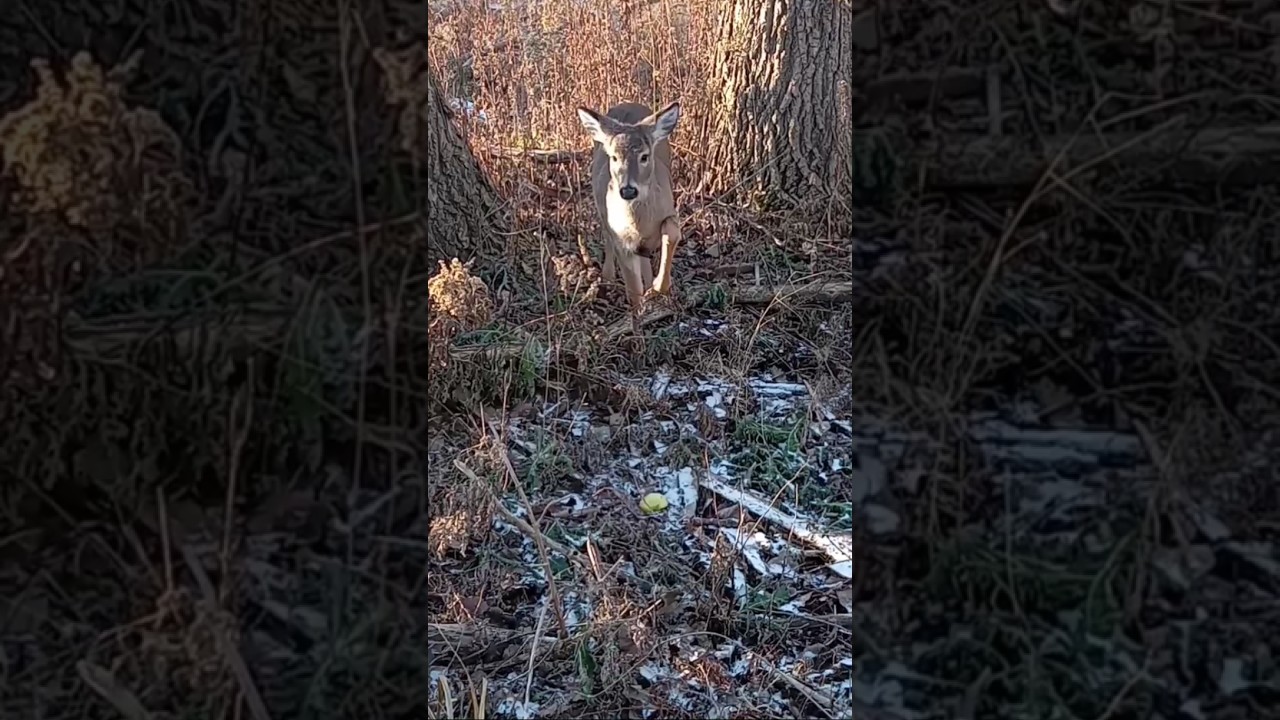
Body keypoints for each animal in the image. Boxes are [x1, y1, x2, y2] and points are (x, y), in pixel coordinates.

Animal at [575, 101, 682, 327]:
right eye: (615, 157)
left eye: (644, 156)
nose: (628, 190)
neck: (639, 223)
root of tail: (627, 103)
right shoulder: (621, 238)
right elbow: (633, 289)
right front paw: (637, 323)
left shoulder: (669, 210)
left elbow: (671, 234)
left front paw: (658, 287)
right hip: (602, 209)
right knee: (608, 240)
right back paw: (608, 279)